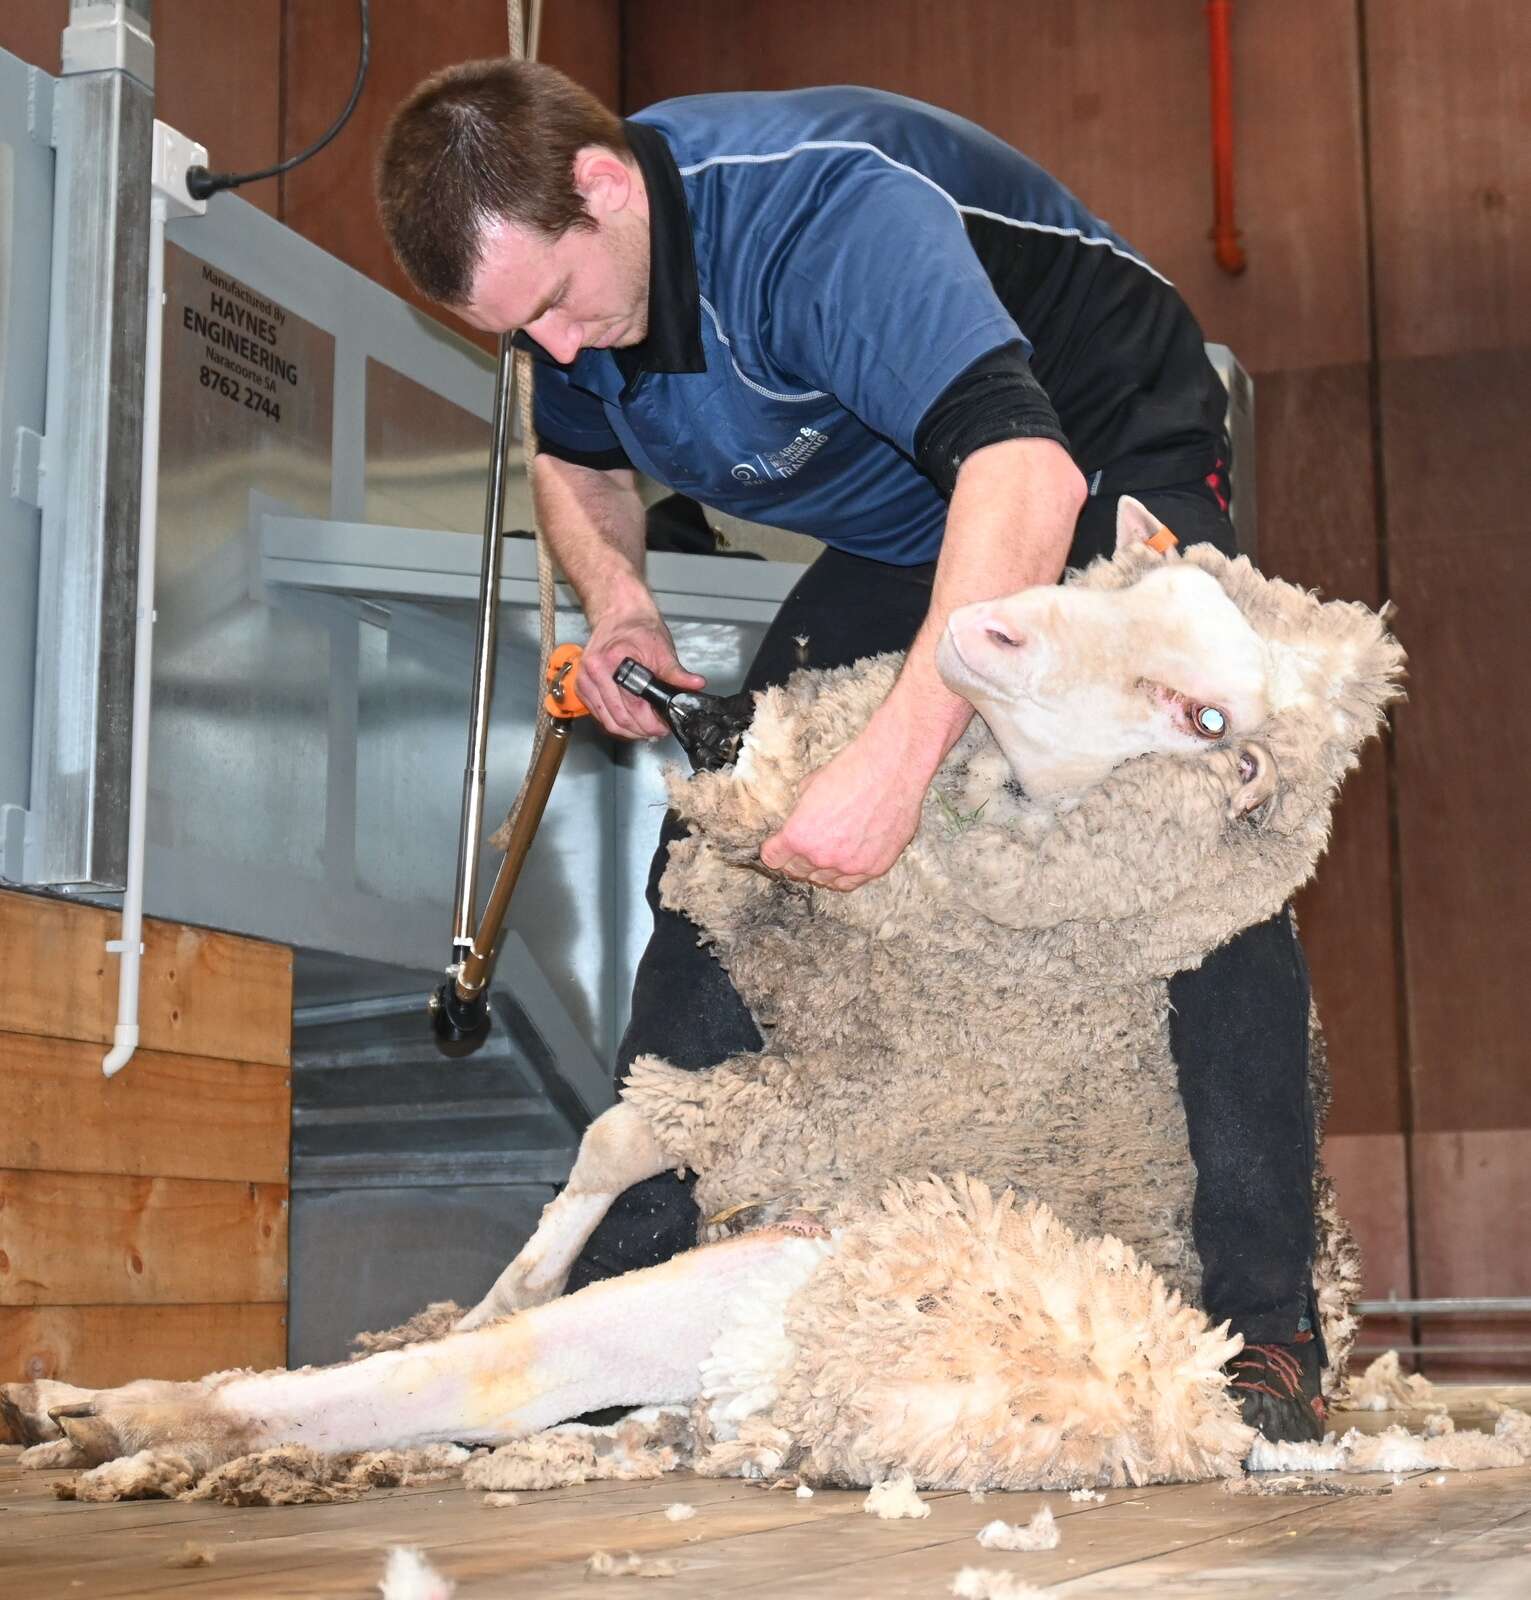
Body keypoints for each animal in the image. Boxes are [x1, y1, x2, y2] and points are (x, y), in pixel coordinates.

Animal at [4, 499, 1405, 1498]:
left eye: (1205, 720)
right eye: (1127, 585)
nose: (990, 626)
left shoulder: (835, 1130)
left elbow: (616, 1158)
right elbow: (620, 1132)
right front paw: (521, 1269)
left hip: (782, 1291)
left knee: (484, 1379)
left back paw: (131, 1415)